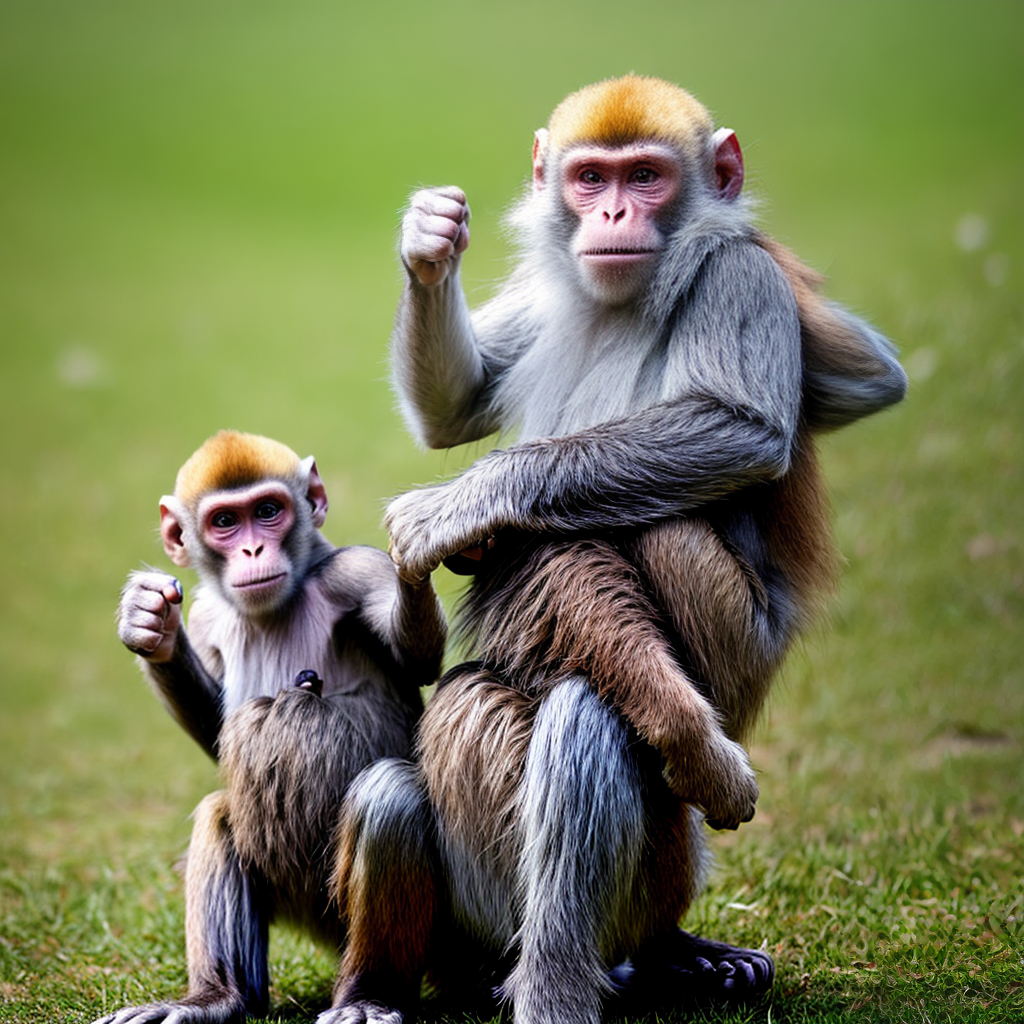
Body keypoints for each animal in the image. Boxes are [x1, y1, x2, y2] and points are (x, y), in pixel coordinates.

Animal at [94, 430, 446, 1024]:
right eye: (224, 522)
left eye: (267, 512)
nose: (253, 551)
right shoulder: (207, 617)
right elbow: (217, 734)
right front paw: (150, 626)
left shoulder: (356, 573)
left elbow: (418, 660)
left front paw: (416, 550)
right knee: (220, 812)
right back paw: (218, 997)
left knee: (388, 795)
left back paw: (367, 995)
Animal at [323, 77, 907, 1024]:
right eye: (591, 177)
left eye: (647, 176)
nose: (616, 212)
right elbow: (458, 409)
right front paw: (429, 243)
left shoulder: (742, 275)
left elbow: (739, 429)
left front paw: (464, 506)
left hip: (745, 652)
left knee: (629, 567)